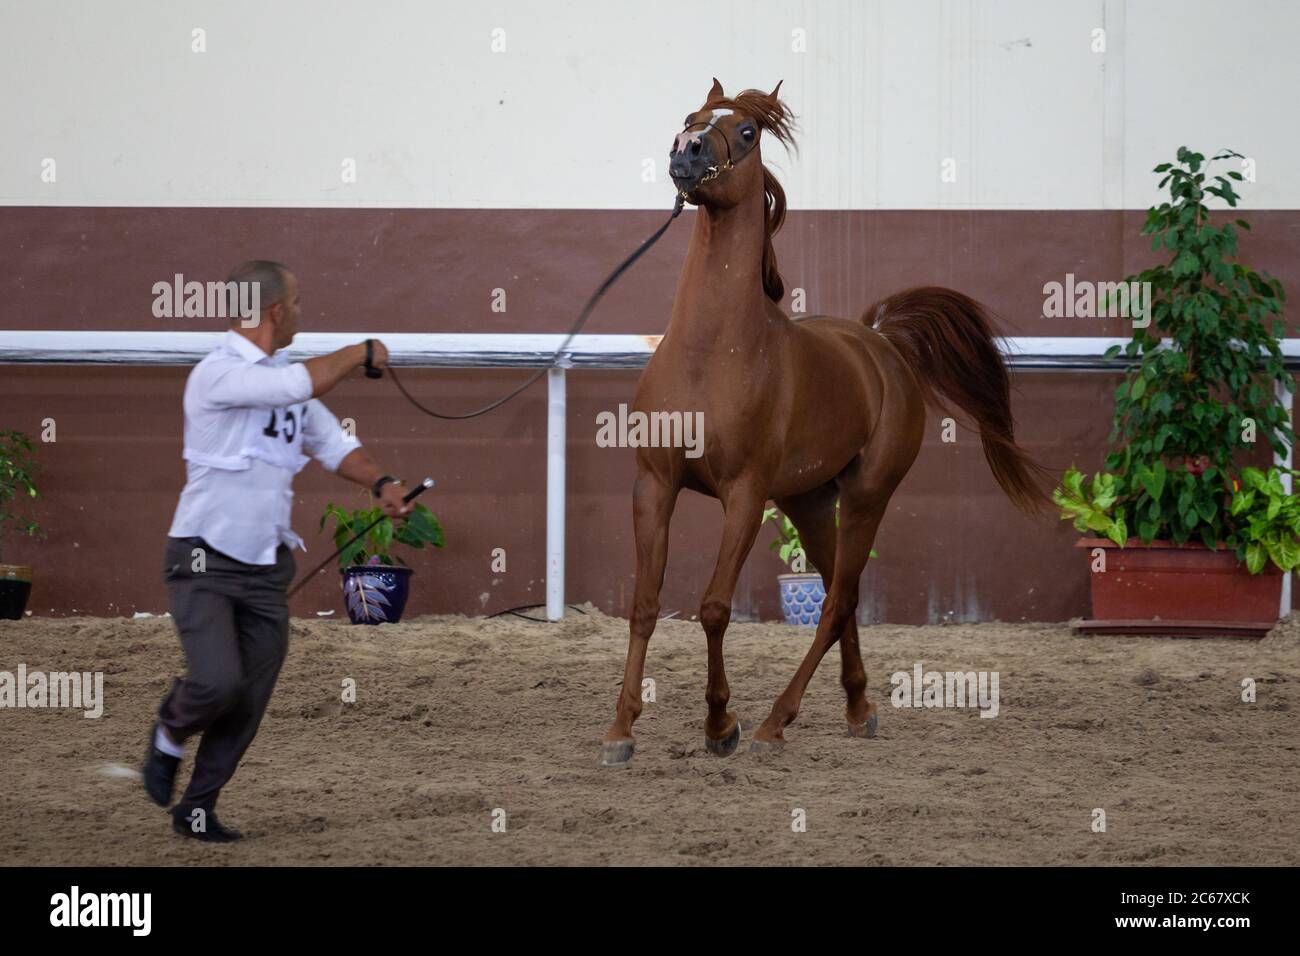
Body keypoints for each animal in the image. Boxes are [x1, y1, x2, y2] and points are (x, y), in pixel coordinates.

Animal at [598, 79, 1047, 768]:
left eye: (746, 132)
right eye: (691, 116)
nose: (684, 151)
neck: (711, 351)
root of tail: (882, 345)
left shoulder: (745, 496)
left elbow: (714, 608)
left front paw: (721, 724)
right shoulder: (654, 484)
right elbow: (645, 605)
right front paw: (621, 731)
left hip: (865, 495)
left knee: (837, 601)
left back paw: (774, 722)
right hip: (809, 502)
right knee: (846, 593)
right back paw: (858, 710)